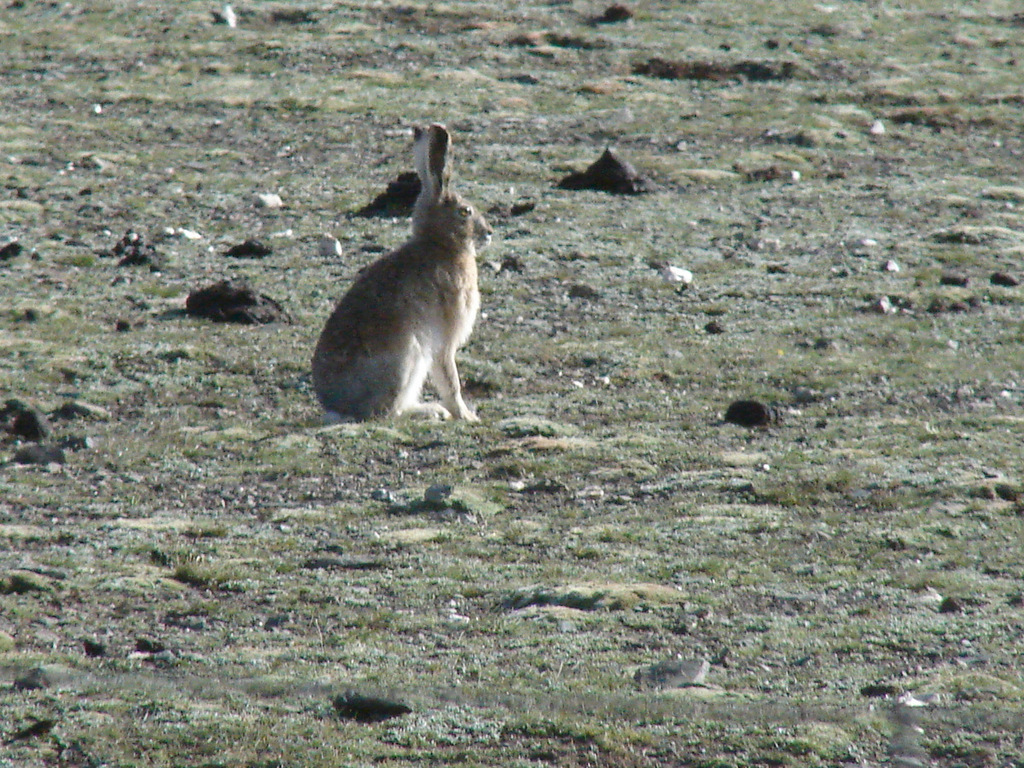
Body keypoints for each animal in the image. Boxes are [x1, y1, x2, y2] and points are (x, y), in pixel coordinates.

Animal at [311, 123, 492, 423]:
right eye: (465, 211)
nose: (489, 232)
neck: (440, 244)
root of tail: (338, 408)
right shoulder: (445, 338)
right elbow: (450, 379)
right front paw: (466, 416)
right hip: (406, 358)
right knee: (387, 413)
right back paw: (432, 411)